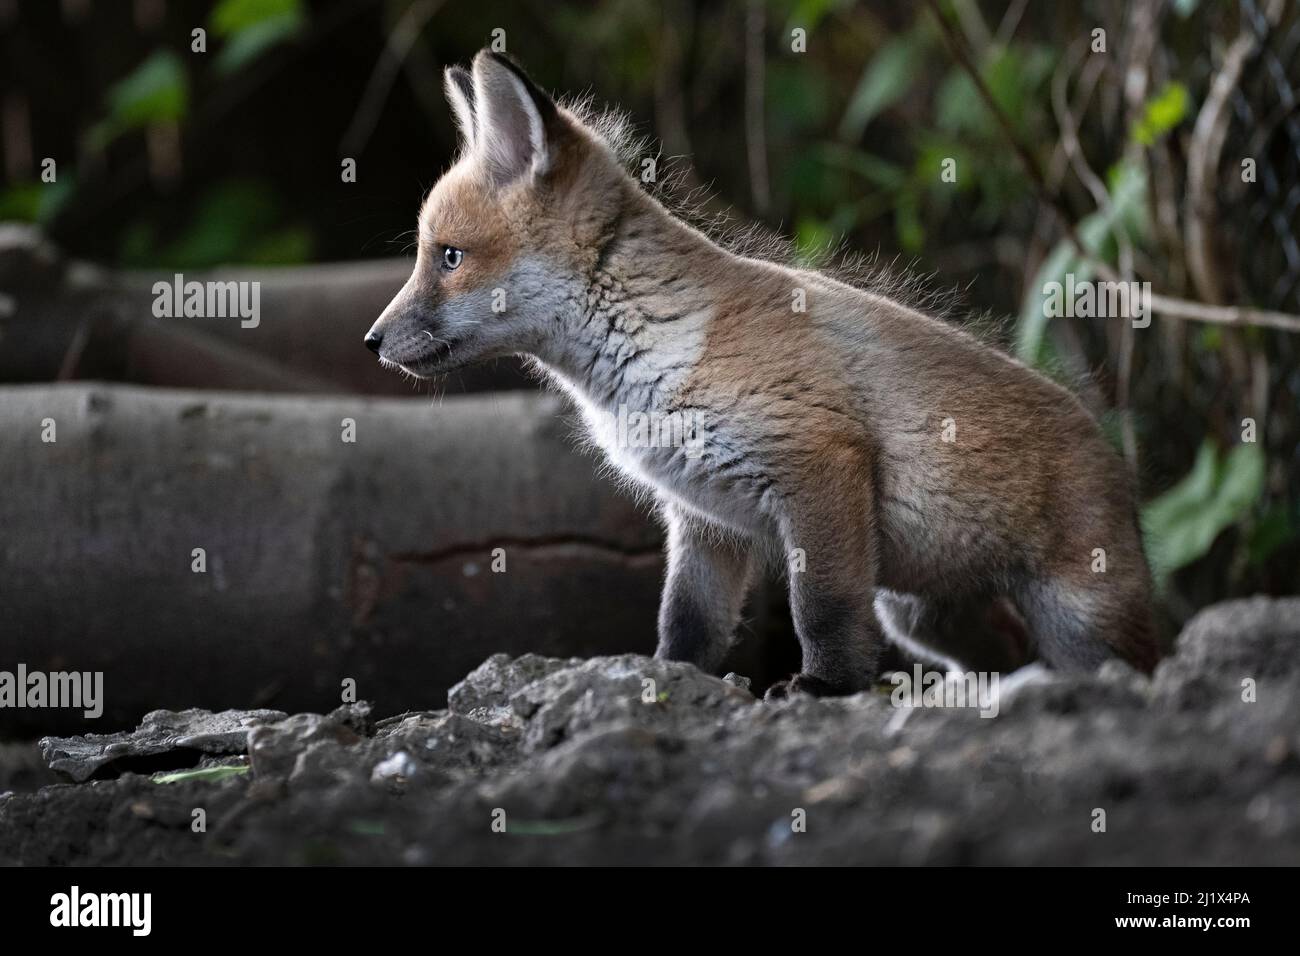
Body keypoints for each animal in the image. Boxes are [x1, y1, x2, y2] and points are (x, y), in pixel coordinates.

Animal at [364, 50, 1161, 699]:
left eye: (449, 257)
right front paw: (663, 681)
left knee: (1121, 664)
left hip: (1070, 619)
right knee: (1003, 657)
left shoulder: (818, 465)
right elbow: (688, 625)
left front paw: (826, 686)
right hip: (919, 614)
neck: (654, 349)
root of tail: (1120, 460)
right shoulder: (702, 520)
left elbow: (822, 608)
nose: (371, 342)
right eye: (429, 254)